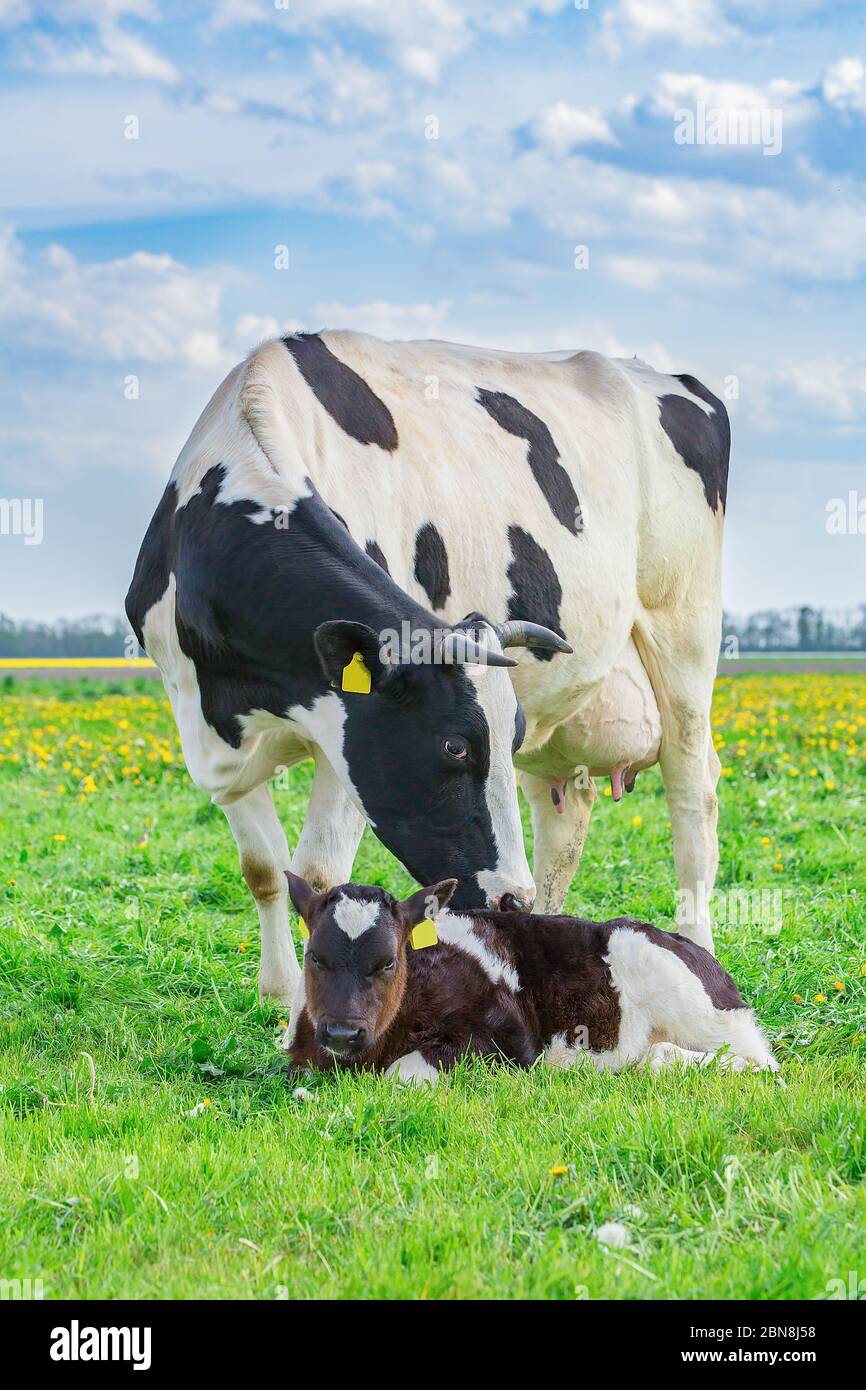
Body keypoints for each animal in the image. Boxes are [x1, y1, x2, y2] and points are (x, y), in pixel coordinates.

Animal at [125, 328, 728, 1000]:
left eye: (494, 741)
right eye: (454, 747)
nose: (511, 900)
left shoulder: (347, 735)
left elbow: (317, 872)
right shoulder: (209, 731)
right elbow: (263, 869)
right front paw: (278, 992)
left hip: (684, 631)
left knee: (693, 792)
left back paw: (697, 950)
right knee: (564, 815)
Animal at [286, 867, 778, 1084]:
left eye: (388, 961)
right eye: (314, 957)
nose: (342, 1032)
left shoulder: (512, 1043)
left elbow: (401, 1073)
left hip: (696, 1011)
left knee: (752, 1060)